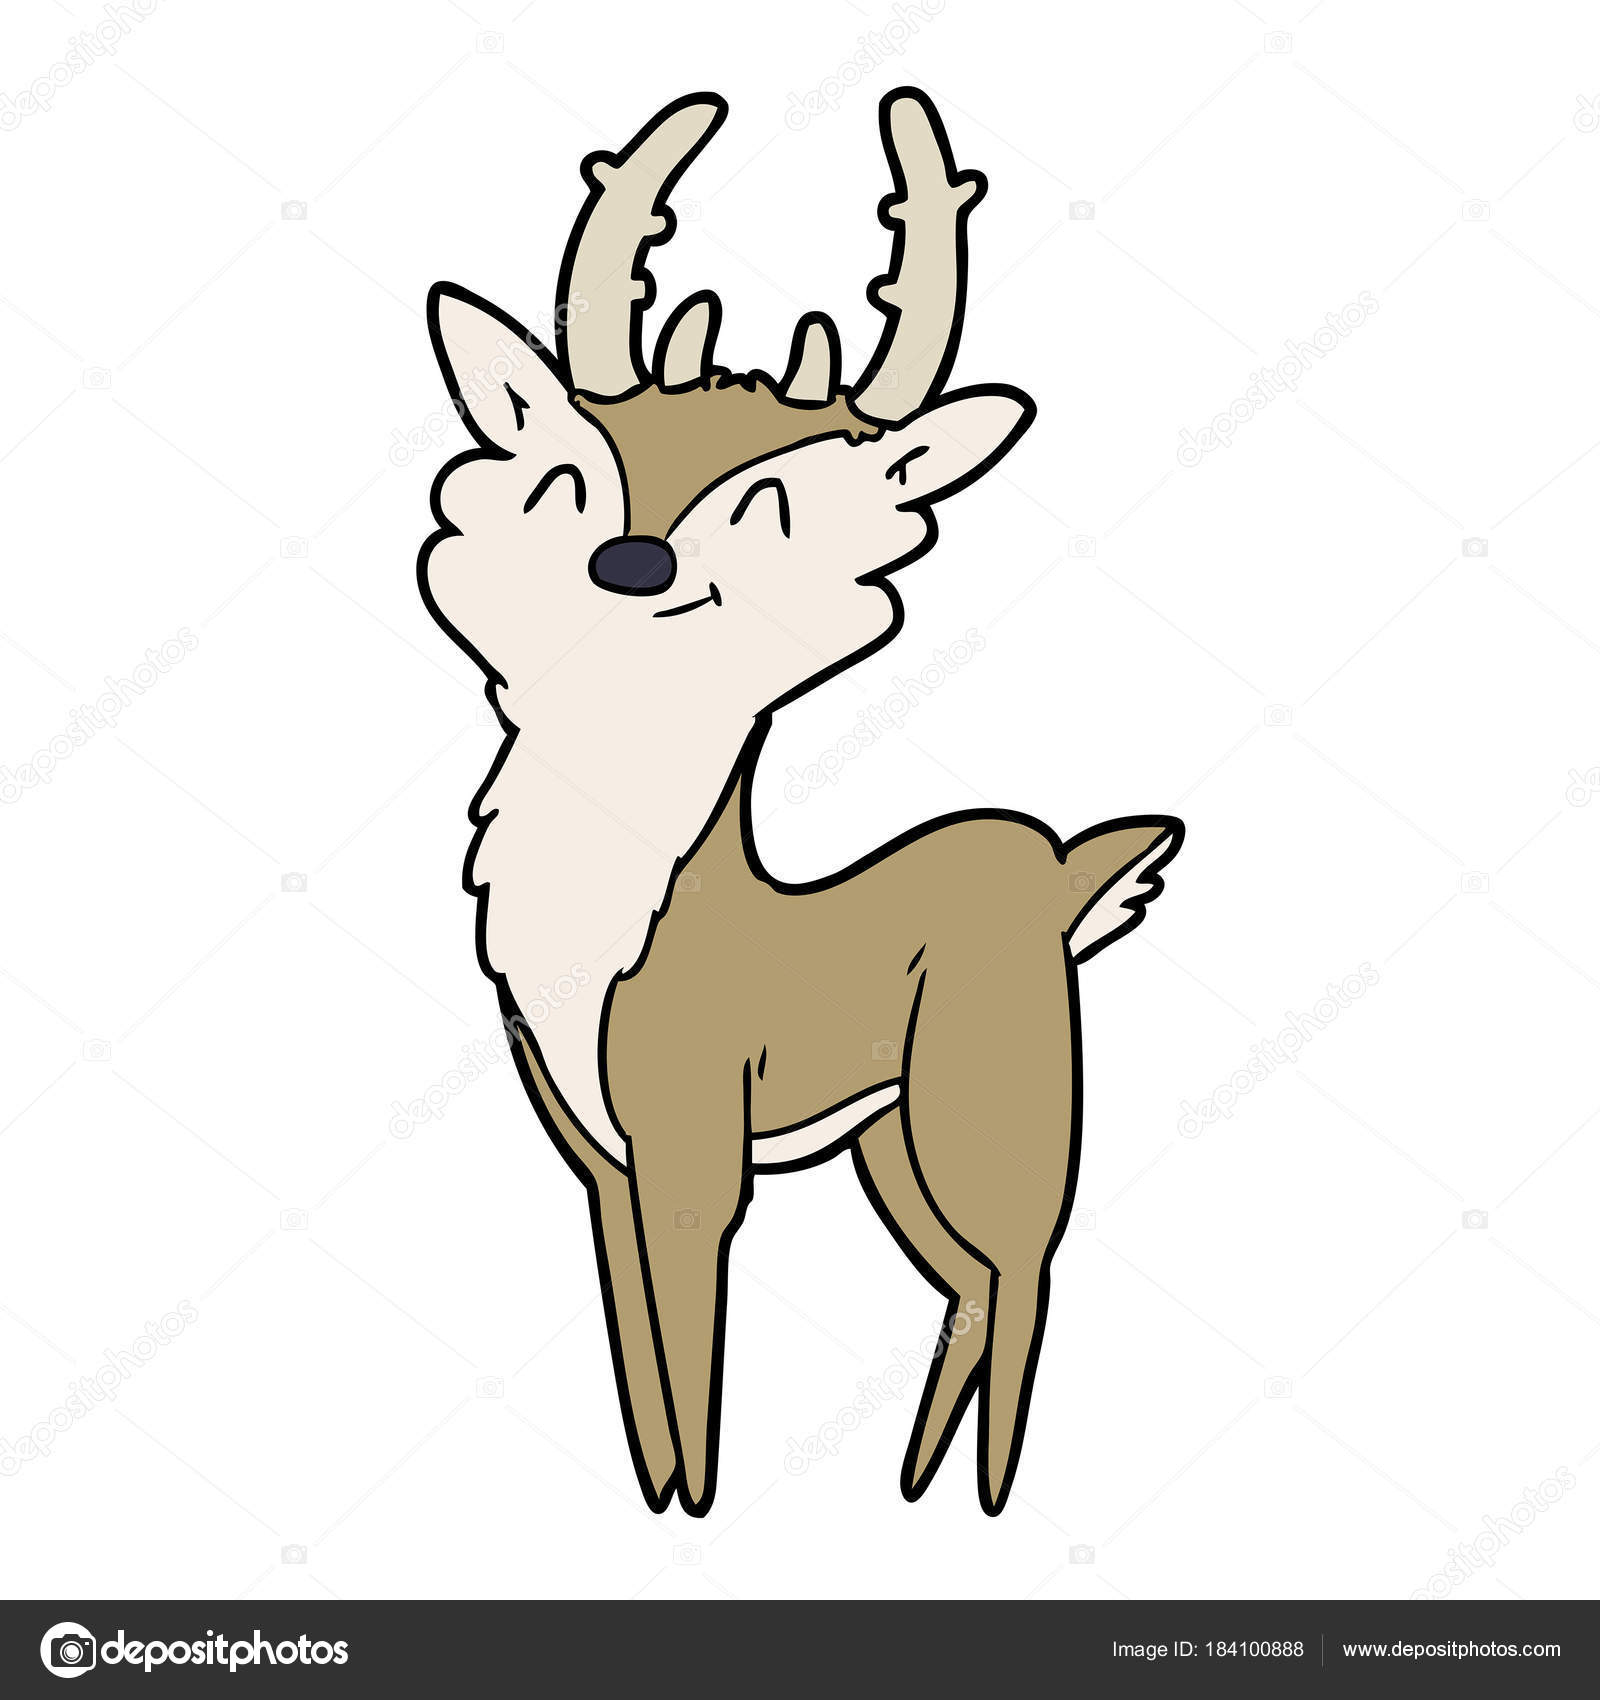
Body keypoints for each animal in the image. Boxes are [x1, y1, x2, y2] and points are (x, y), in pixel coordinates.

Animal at [417, 88, 1183, 1519]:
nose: (632, 561)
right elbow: (639, 1358)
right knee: (965, 1286)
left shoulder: (695, 1152)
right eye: (573, 478)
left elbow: (694, 1344)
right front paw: (660, 1493)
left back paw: (986, 1494)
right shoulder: (598, 1158)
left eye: (768, 507)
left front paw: (700, 1505)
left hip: (986, 1116)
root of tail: (1055, 871)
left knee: (1023, 1275)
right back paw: (918, 1479)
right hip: (892, 1143)